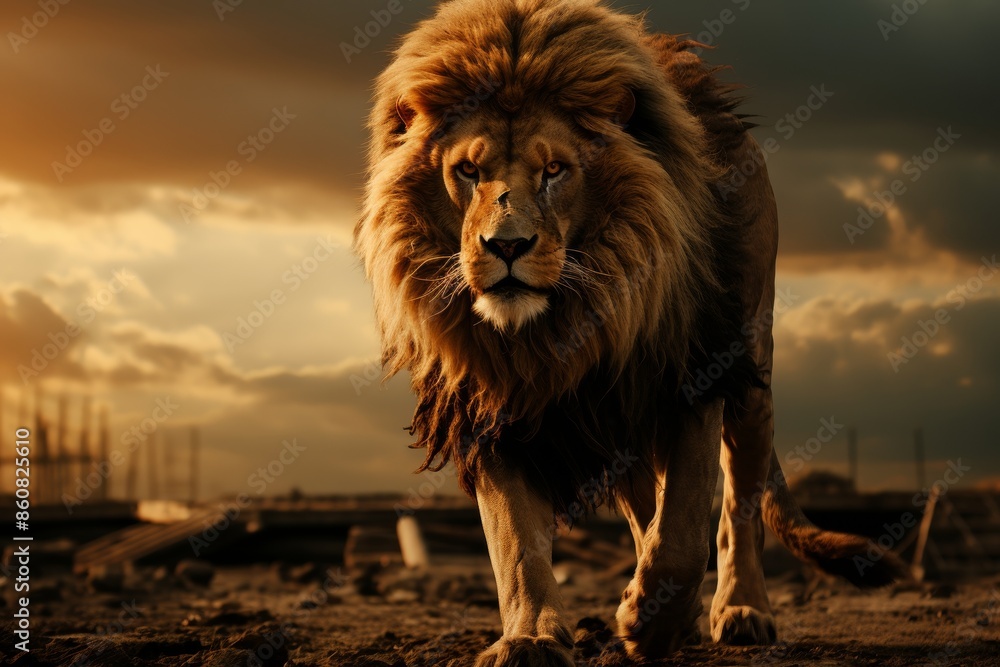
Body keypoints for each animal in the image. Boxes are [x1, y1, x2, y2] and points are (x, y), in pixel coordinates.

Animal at [355, 0, 907, 664]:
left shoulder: (691, 370)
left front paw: (654, 620)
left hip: (750, 367)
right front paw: (531, 637)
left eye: (555, 170)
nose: (507, 246)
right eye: (467, 170)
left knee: (738, 505)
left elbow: (689, 519)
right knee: (646, 508)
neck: (557, 326)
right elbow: (515, 541)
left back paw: (738, 609)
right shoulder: (490, 404)